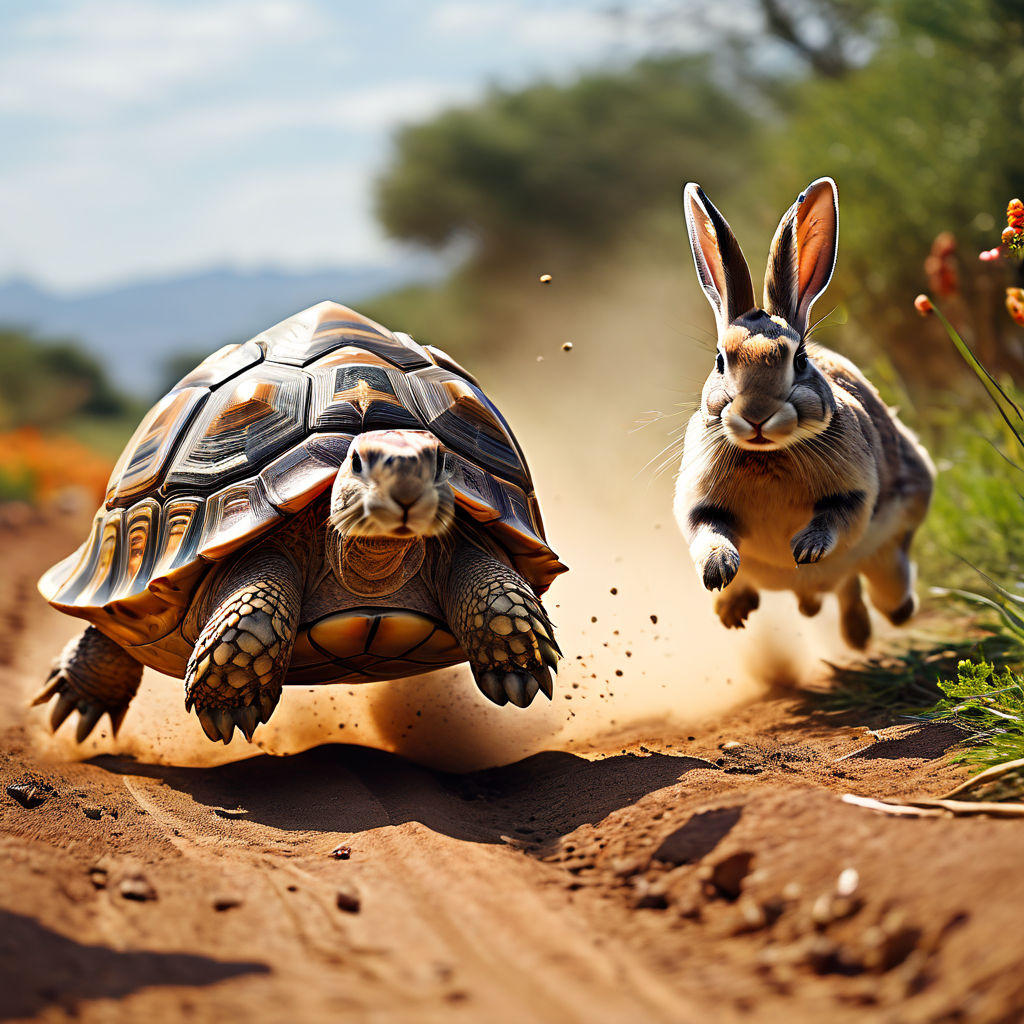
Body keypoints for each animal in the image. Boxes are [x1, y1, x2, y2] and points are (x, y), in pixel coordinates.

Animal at [673, 176, 935, 648]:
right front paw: (717, 571)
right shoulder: (698, 502)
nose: (757, 414)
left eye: (799, 360)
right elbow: (707, 532)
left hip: (890, 549)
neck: (767, 455)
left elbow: (837, 518)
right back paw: (734, 609)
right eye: (720, 361)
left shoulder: (856, 492)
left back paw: (872, 627)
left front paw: (805, 549)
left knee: (874, 588)